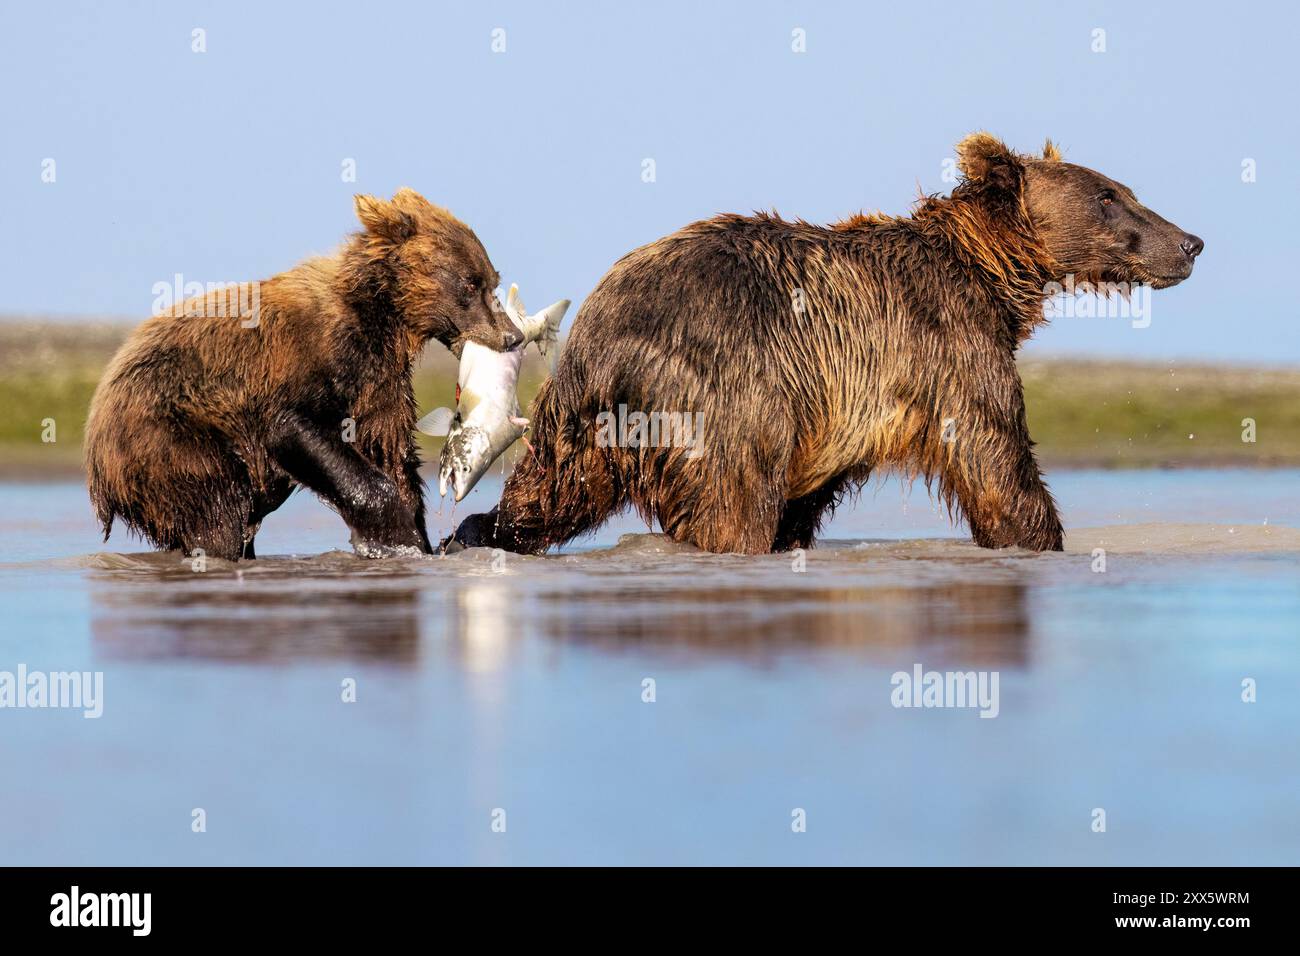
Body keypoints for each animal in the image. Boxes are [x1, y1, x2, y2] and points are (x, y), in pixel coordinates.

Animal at [86, 188, 523, 561]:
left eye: (491, 279)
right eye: (471, 282)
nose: (512, 335)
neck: (380, 316)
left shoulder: (379, 379)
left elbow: (390, 450)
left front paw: (416, 540)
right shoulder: (304, 363)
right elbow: (294, 425)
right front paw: (394, 539)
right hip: (168, 435)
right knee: (218, 507)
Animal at [449, 133, 1203, 555]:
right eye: (1109, 196)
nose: (1190, 242)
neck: (992, 274)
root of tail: (603, 338)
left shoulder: (852, 401)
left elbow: (808, 495)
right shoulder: (948, 347)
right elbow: (994, 454)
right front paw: (1040, 537)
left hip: (577, 423)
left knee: (547, 494)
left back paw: (477, 533)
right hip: (721, 386)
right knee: (736, 498)